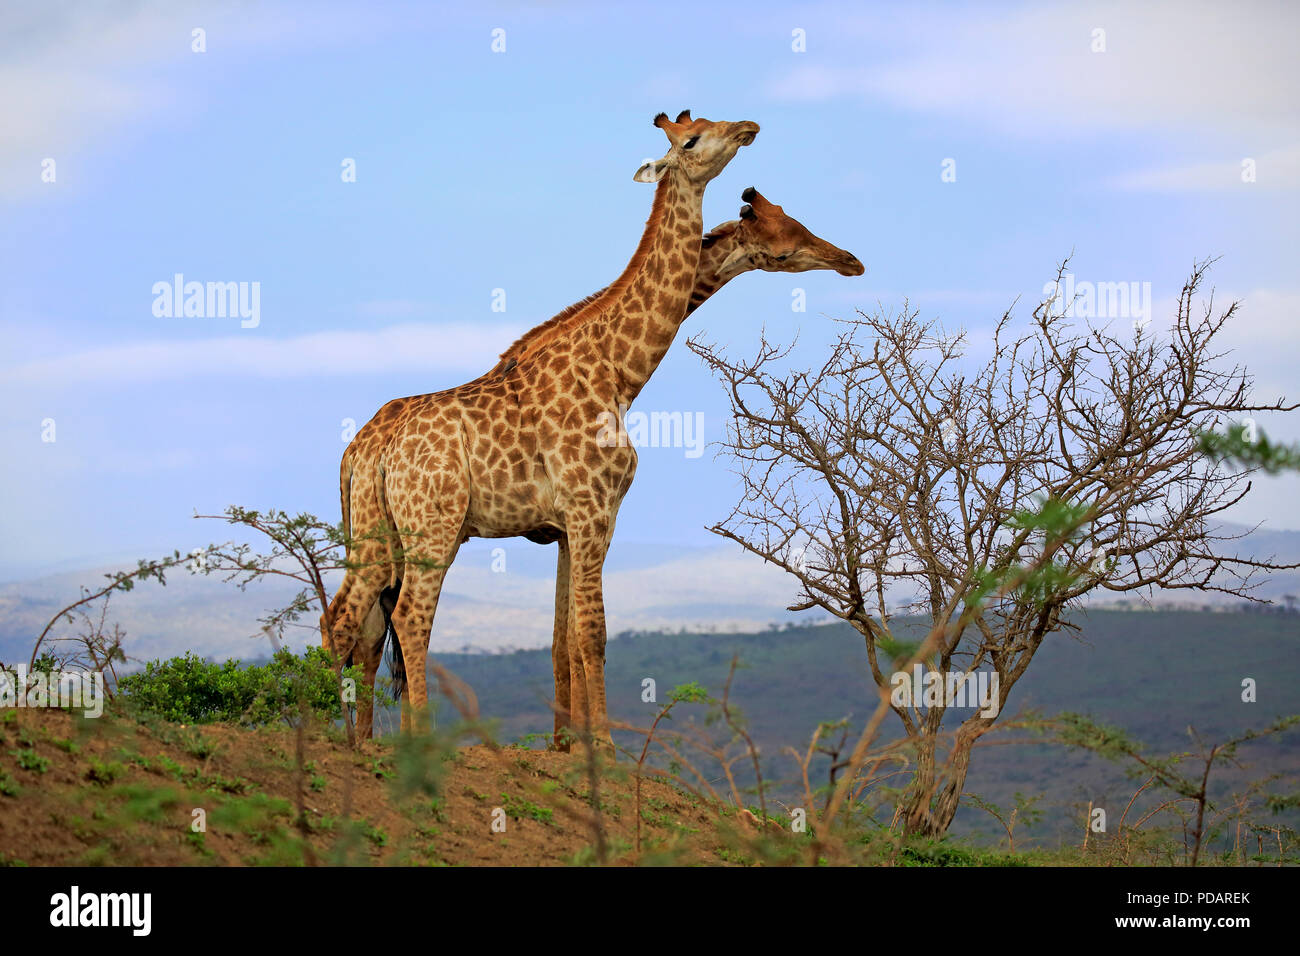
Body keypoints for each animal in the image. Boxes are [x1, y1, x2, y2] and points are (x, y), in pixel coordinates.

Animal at [344, 188, 865, 741]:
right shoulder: (595, 512)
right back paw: (409, 742)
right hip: (431, 529)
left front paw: (567, 745)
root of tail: (367, 447)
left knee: (357, 626)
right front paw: (598, 746)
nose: (850, 260)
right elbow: (590, 633)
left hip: (380, 534)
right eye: (787, 244)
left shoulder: (564, 528)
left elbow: (563, 641)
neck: (617, 375)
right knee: (402, 620)